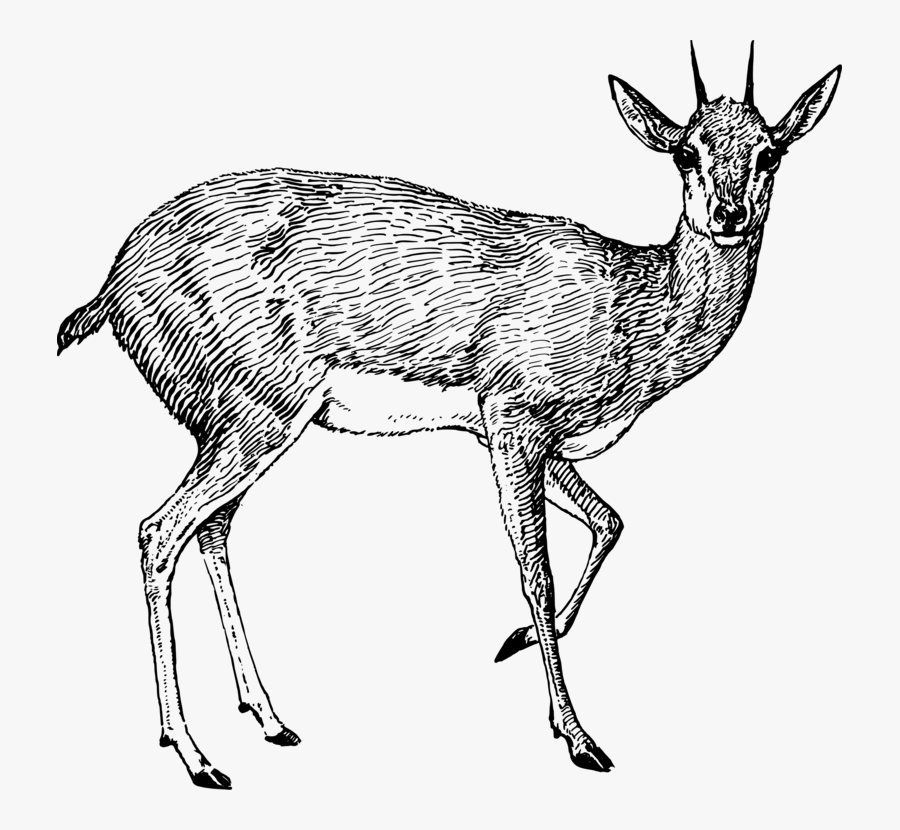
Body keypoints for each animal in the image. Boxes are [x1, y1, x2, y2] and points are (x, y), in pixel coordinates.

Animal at [57, 44, 840, 789]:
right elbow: (535, 571)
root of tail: (116, 279)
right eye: (686, 150)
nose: (730, 216)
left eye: (771, 150)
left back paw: (271, 718)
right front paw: (578, 737)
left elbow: (610, 520)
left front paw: (515, 641)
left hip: (236, 428)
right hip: (256, 422)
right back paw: (196, 755)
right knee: (159, 532)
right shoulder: (515, 425)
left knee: (211, 531)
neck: (634, 302)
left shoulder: (537, 443)